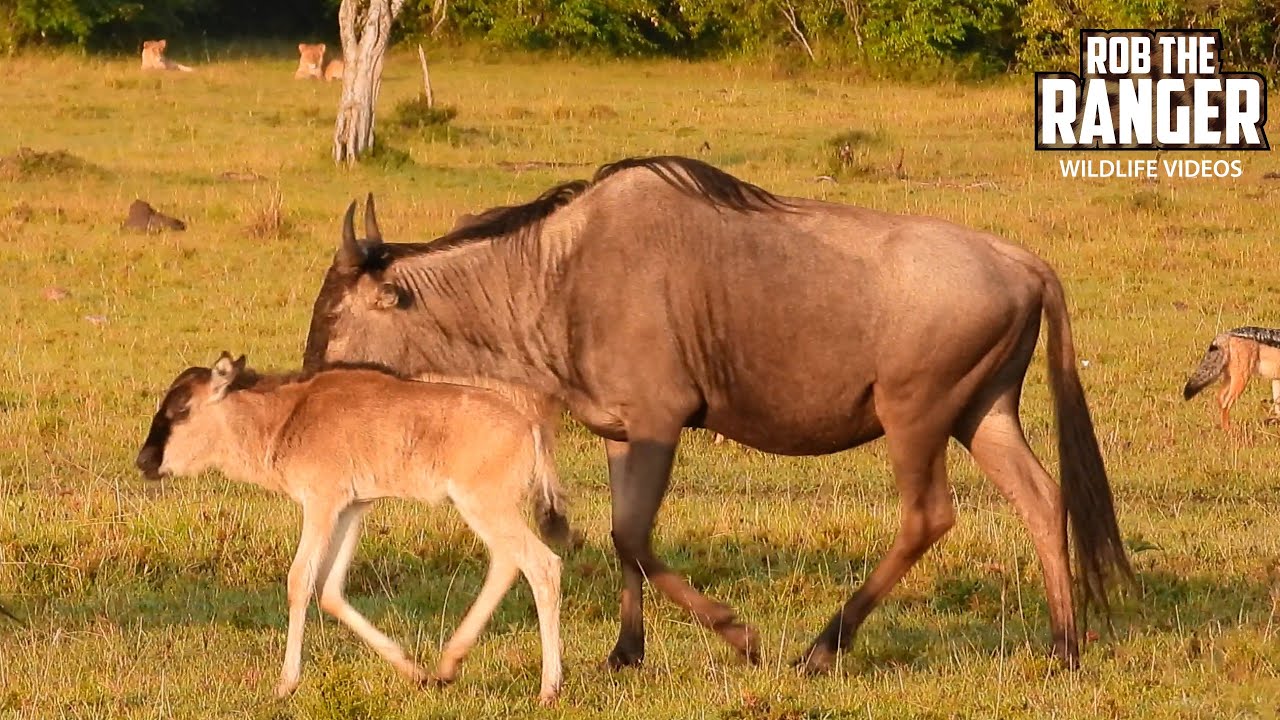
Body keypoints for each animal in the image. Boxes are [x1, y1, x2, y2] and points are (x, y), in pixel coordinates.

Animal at [135, 353, 570, 703]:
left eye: (182, 408)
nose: (144, 462)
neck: (286, 416)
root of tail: (529, 426)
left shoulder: (321, 503)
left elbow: (300, 580)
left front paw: (285, 684)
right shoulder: (351, 507)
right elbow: (329, 590)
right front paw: (415, 672)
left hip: (485, 506)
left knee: (542, 565)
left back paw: (549, 689)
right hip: (486, 510)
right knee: (507, 563)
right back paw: (447, 665)